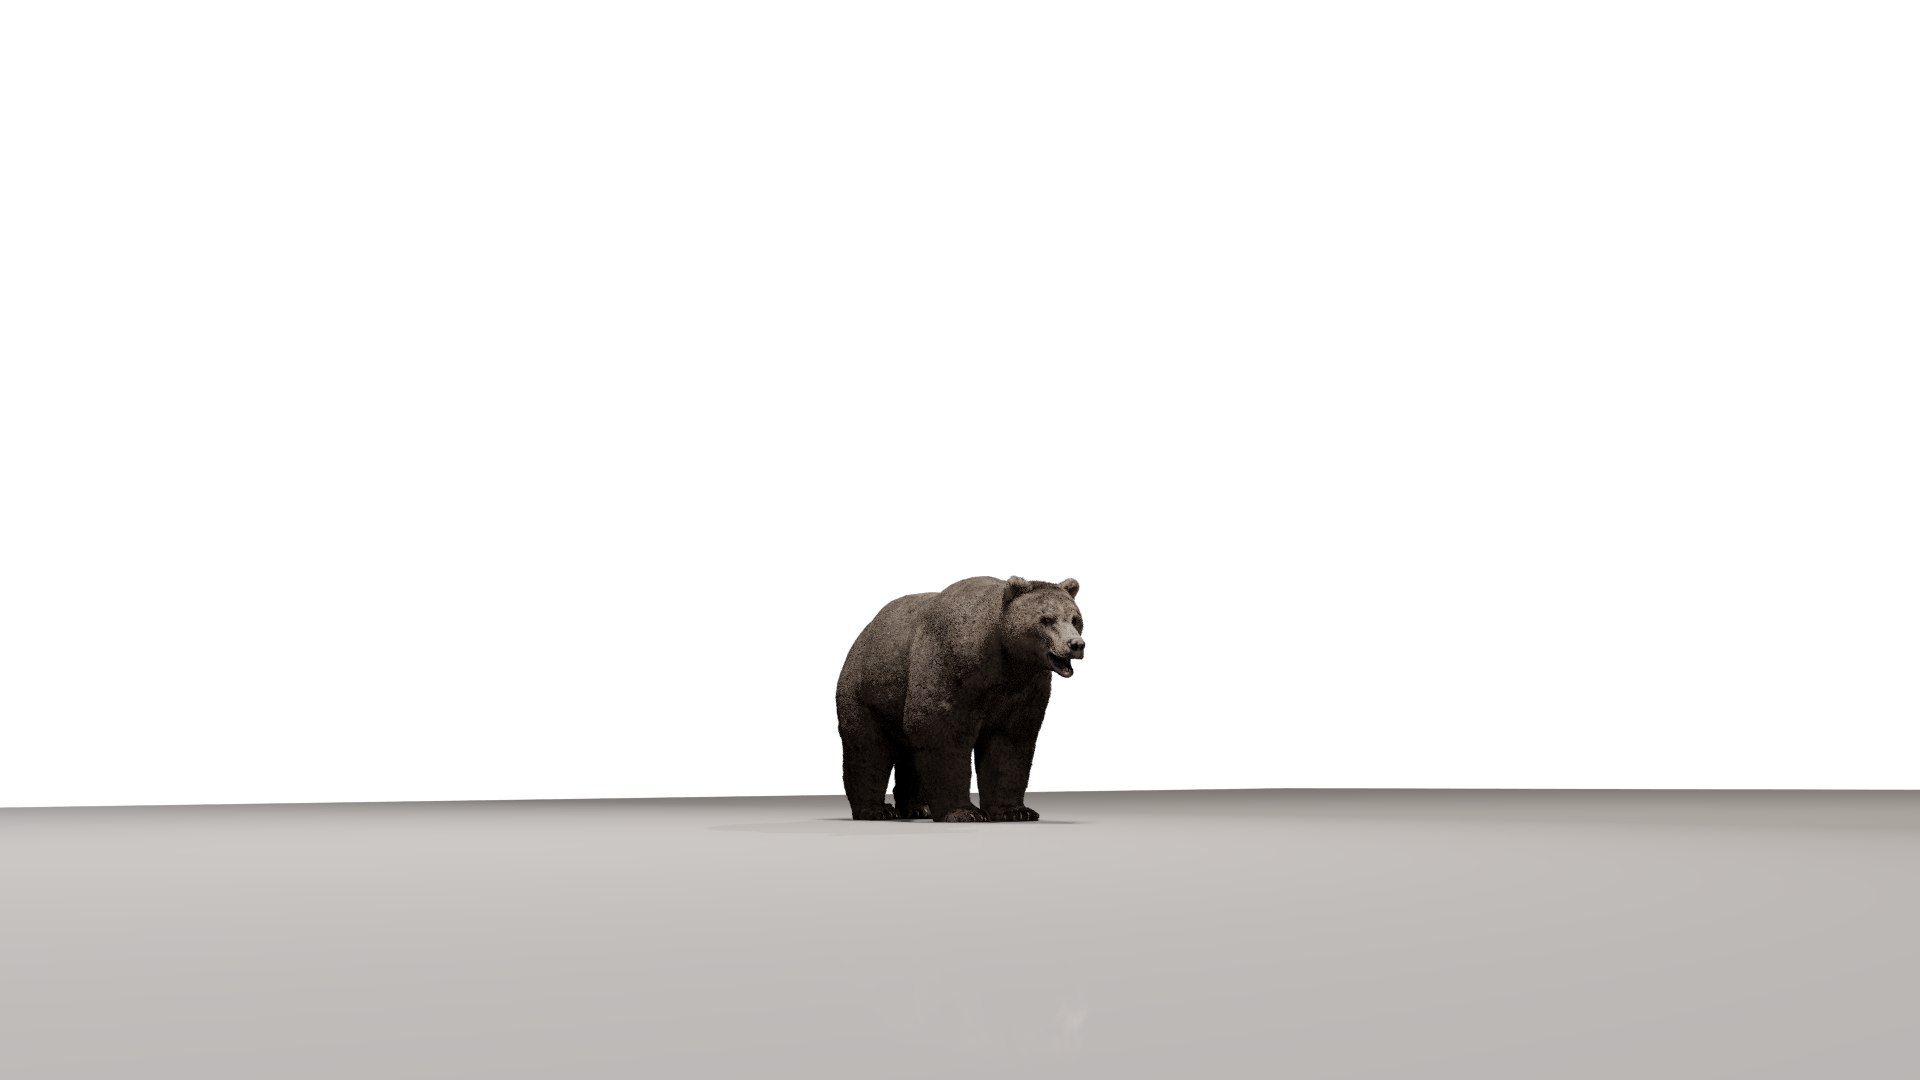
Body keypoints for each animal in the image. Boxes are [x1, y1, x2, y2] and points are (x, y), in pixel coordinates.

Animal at [836, 575, 1086, 823]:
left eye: (1075, 619)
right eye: (1047, 619)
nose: (1076, 644)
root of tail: (863, 633)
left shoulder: (1025, 689)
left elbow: (1010, 742)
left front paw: (1016, 811)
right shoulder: (950, 666)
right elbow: (941, 731)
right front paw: (964, 812)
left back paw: (919, 808)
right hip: (868, 690)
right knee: (867, 747)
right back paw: (877, 810)